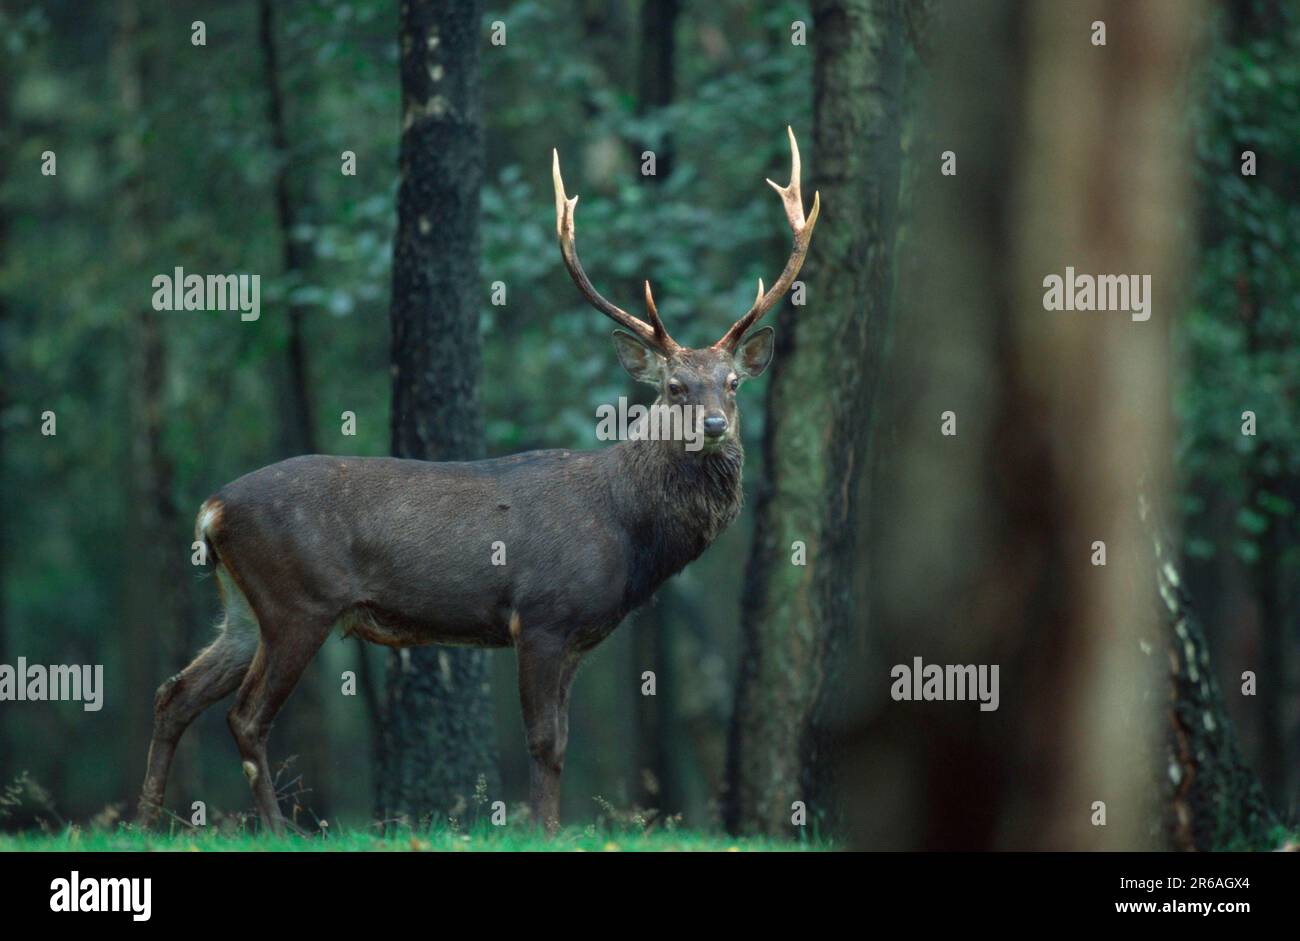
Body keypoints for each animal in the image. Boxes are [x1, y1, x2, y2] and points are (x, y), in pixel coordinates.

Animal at [134, 127, 820, 836]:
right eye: (675, 386)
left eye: (733, 383)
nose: (714, 423)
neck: (627, 532)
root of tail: (211, 510)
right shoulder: (541, 614)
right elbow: (544, 743)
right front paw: (541, 832)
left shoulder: (575, 638)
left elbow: (561, 740)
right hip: (298, 601)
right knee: (245, 716)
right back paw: (275, 829)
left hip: (244, 609)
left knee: (173, 693)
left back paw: (145, 819)